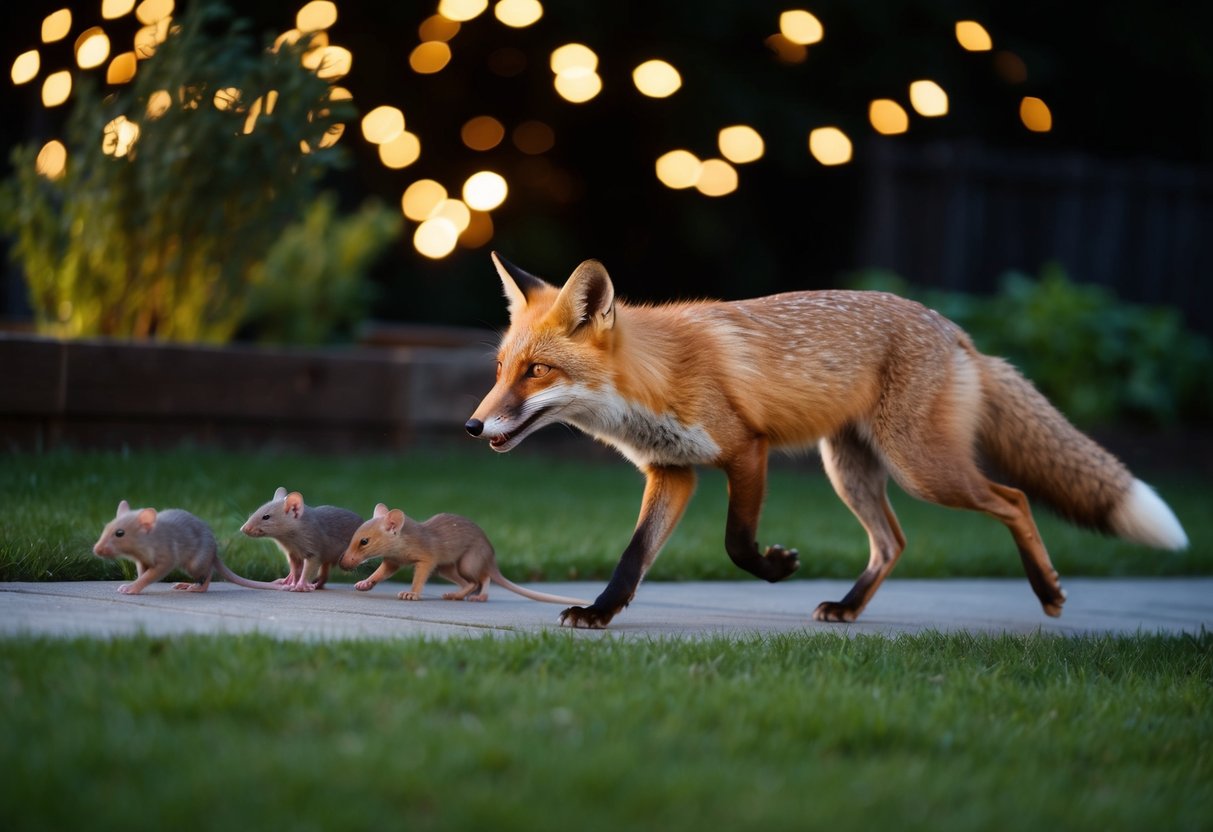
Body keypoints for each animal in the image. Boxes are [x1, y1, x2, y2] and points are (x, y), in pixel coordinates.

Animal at [464, 252, 1189, 629]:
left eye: (537, 371)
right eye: (499, 369)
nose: (472, 426)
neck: (652, 379)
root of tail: (956, 330)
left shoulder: (745, 450)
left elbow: (736, 542)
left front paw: (776, 567)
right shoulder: (672, 471)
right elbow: (632, 557)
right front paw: (599, 611)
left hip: (923, 469)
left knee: (1012, 498)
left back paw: (1047, 592)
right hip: (850, 470)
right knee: (893, 542)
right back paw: (847, 606)